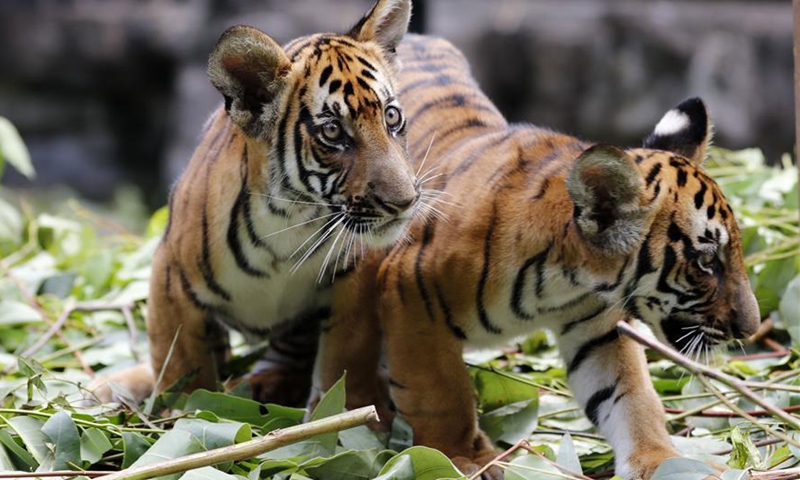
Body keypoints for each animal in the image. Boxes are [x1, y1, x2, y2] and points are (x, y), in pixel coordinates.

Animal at [88, 0, 420, 405]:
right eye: (332, 131)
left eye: (391, 116)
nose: (405, 202)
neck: (292, 220)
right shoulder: (170, 277)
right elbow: (181, 368)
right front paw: (185, 411)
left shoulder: (356, 276)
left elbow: (345, 360)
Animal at [312, 35, 761, 480]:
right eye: (707, 261)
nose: (750, 328)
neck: (566, 280)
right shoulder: (411, 296)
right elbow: (441, 394)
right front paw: (459, 458)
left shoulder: (599, 330)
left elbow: (632, 397)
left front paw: (664, 460)